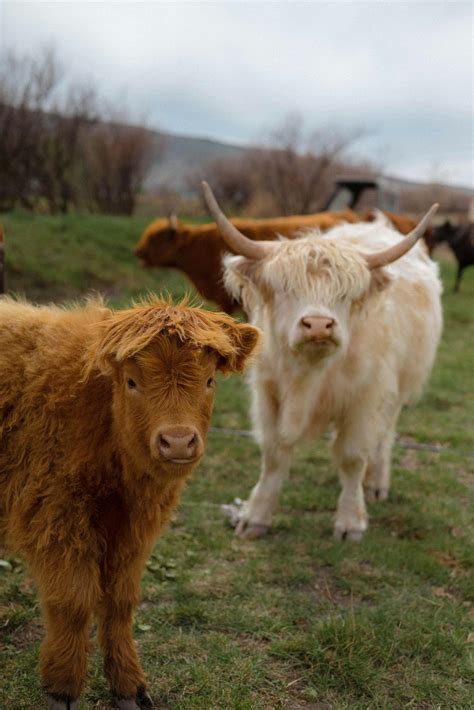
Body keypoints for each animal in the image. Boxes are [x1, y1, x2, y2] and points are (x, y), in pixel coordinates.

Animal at [0, 295, 259, 709]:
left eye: (209, 381)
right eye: (133, 382)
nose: (178, 441)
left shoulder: (132, 531)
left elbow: (120, 602)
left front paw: (128, 685)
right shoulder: (56, 516)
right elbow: (72, 602)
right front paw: (62, 686)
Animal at [201, 182, 442, 541]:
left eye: (345, 294)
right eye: (286, 288)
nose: (318, 325)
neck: (309, 376)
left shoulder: (366, 399)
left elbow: (353, 457)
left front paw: (350, 521)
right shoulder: (268, 394)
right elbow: (273, 455)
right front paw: (255, 516)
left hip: (398, 387)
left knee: (384, 434)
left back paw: (376, 482)